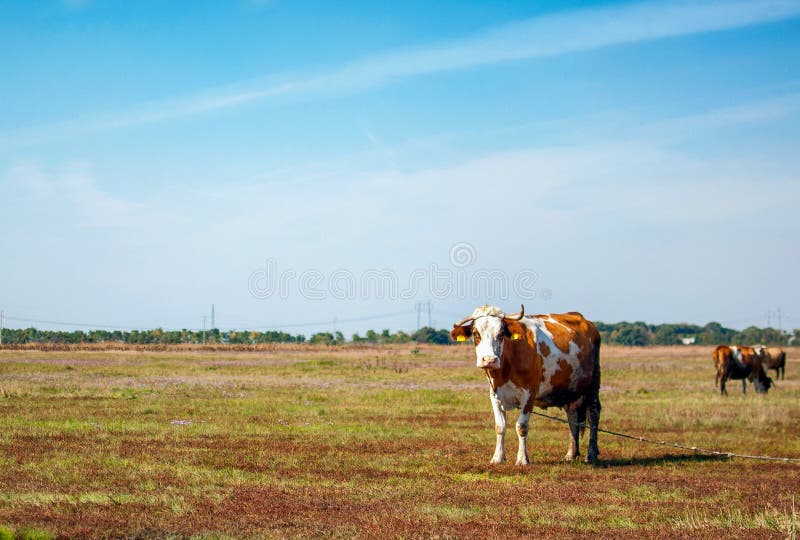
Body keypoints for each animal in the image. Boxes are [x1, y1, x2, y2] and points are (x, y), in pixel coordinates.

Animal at [451, 304, 601, 465]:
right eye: (475, 333)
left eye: (501, 333)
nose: (490, 360)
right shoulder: (495, 395)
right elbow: (500, 426)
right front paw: (497, 457)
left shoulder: (529, 394)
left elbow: (521, 427)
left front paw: (522, 459)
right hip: (570, 389)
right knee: (573, 415)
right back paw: (571, 454)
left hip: (593, 385)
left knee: (594, 415)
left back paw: (591, 454)